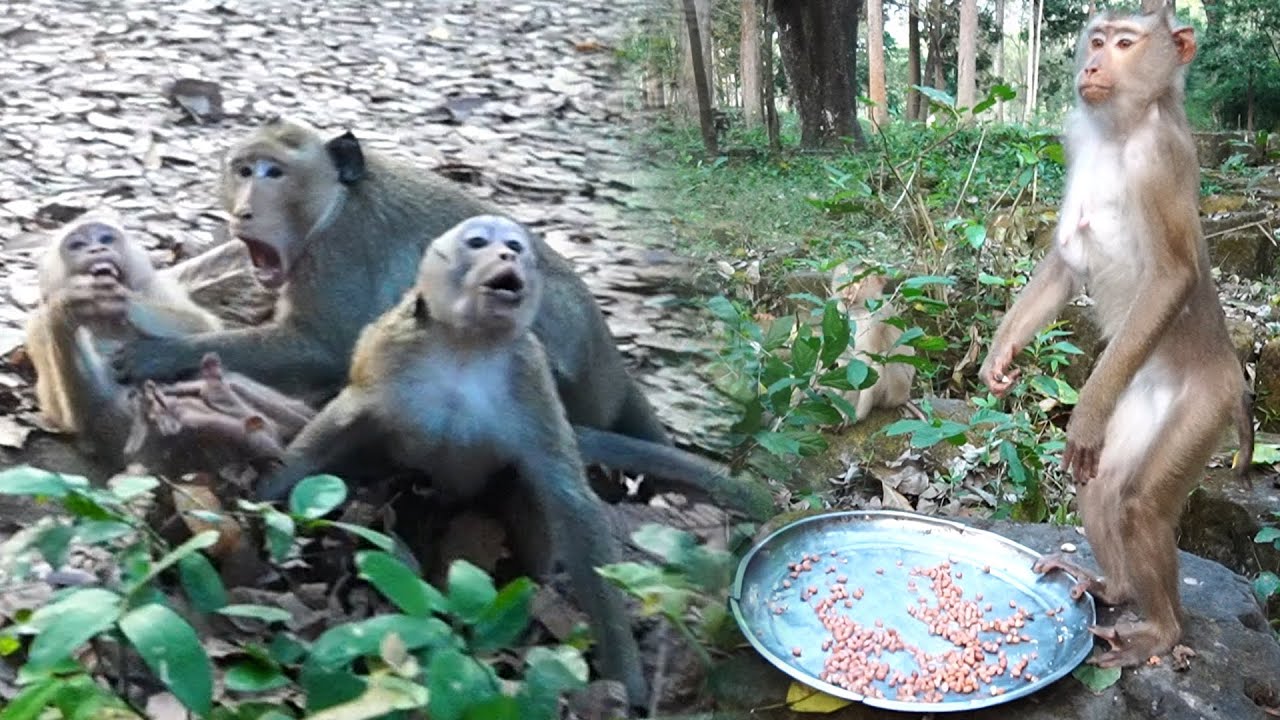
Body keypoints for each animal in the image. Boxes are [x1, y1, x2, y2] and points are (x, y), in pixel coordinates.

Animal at [255, 216, 648, 709]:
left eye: (515, 246)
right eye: (478, 243)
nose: (507, 255)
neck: (466, 347)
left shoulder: (529, 374)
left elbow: (567, 495)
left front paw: (625, 670)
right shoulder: (394, 350)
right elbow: (343, 420)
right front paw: (263, 502)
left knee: (523, 482)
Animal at [830, 262, 917, 424]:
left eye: (860, 282)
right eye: (845, 279)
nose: (848, 291)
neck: (858, 310)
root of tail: (906, 396)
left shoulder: (876, 320)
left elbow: (863, 361)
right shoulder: (839, 314)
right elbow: (844, 358)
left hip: (899, 388)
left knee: (882, 362)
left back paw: (860, 415)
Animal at [977, 1, 1253, 667]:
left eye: (1126, 44)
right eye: (1097, 40)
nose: (1095, 65)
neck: (1121, 130)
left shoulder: (1160, 158)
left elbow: (1172, 277)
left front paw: (1079, 417)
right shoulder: (1077, 141)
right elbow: (1066, 260)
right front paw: (1000, 355)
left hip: (1201, 404)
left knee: (1141, 505)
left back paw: (1161, 631)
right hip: (1138, 403)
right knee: (1104, 487)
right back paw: (1117, 588)